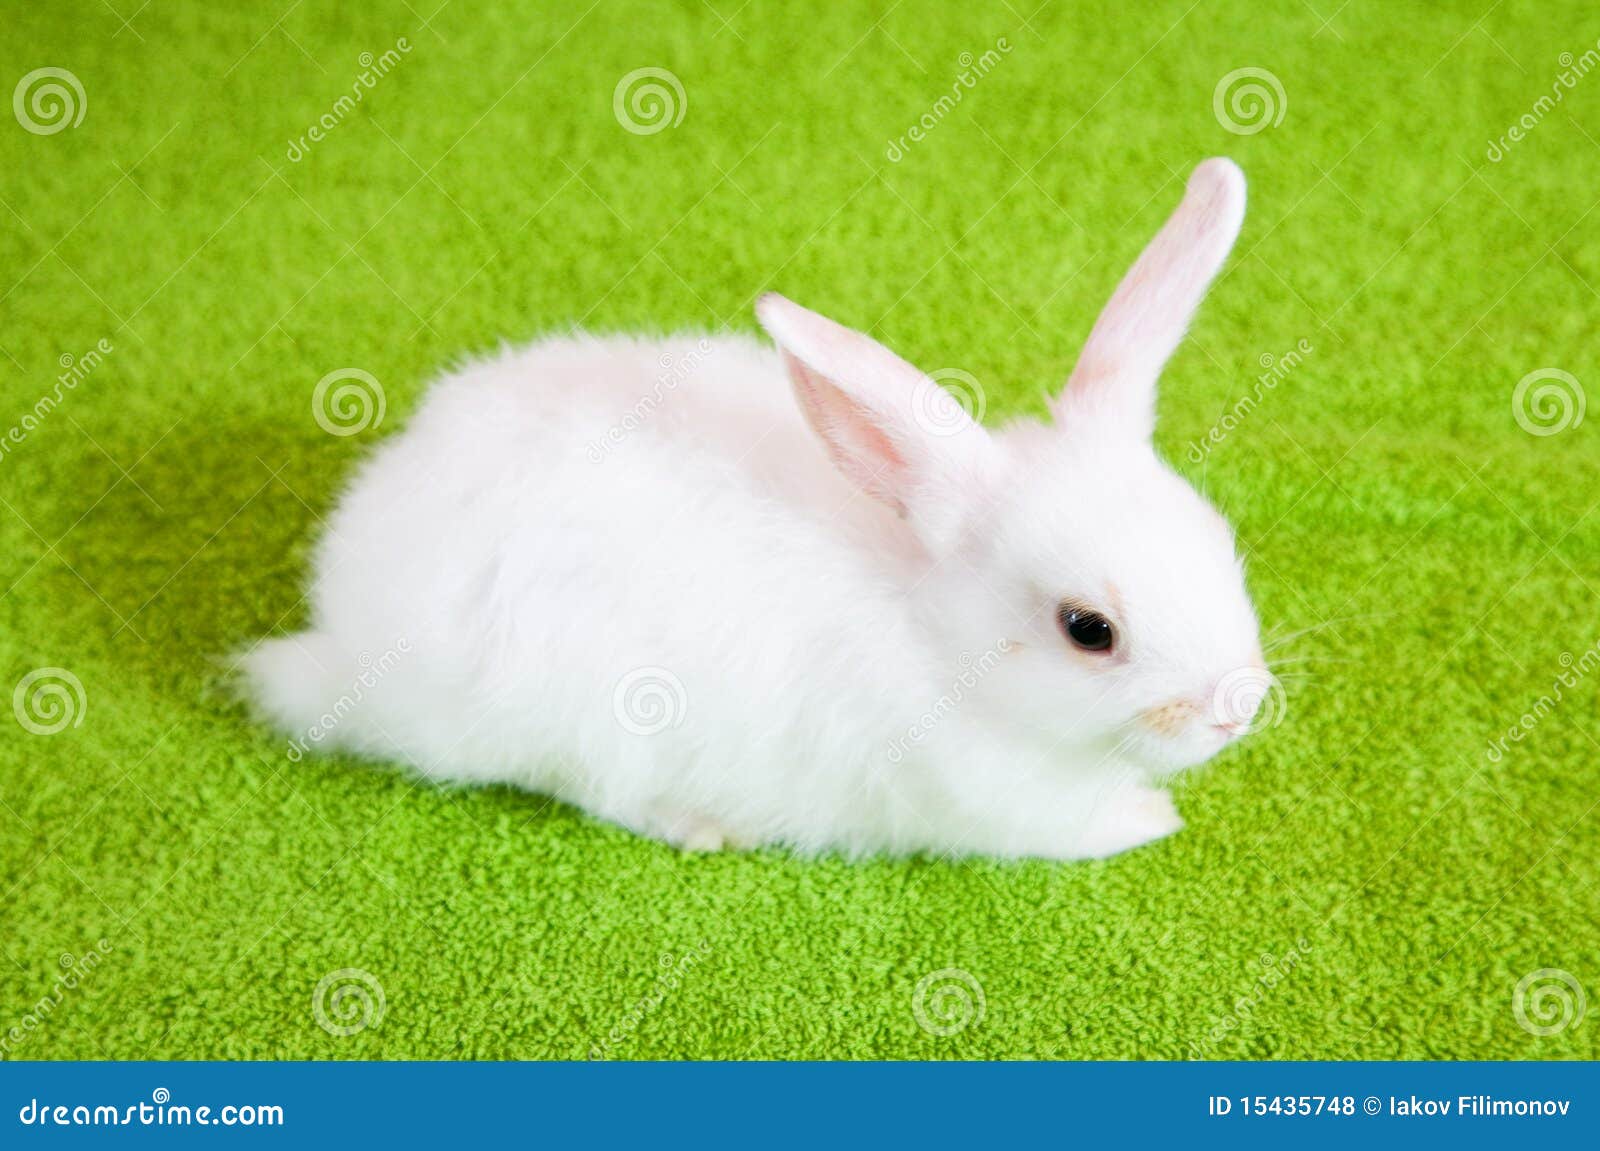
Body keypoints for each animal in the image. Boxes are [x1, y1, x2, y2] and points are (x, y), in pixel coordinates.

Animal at [241, 157, 1268, 860]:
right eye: (1088, 629)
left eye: (1219, 542)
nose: (1239, 707)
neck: (939, 637)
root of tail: (342, 625)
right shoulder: (993, 797)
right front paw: (1151, 816)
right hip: (586, 721)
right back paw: (700, 825)